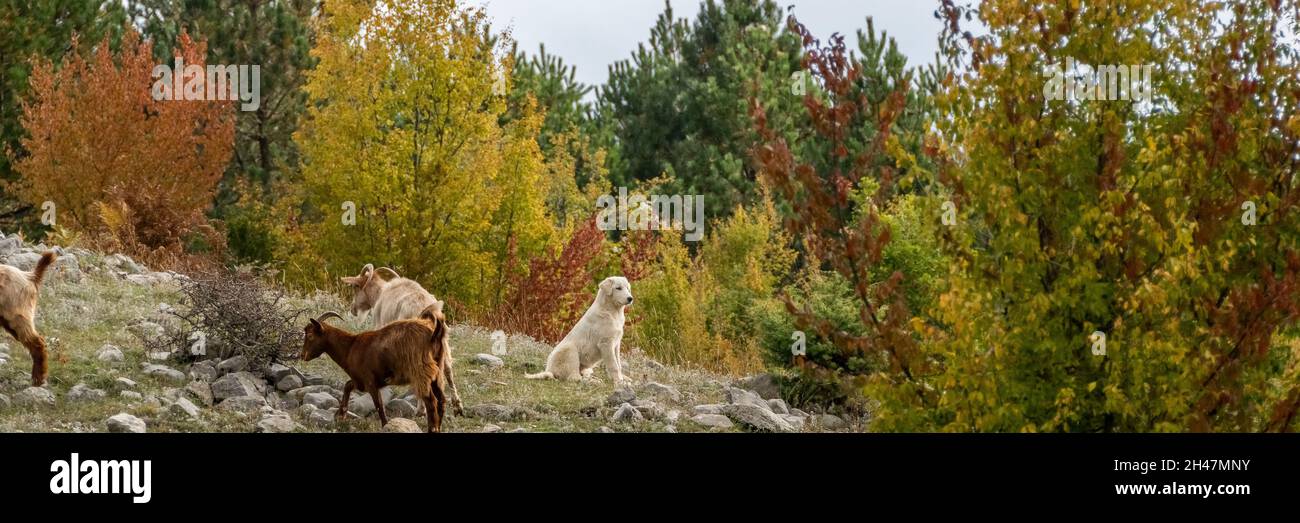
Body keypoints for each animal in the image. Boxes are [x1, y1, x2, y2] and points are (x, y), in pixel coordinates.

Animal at [301, 304, 449, 432]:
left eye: (310, 335)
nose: (302, 355)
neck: (350, 347)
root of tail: (433, 333)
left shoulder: (370, 382)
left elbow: (379, 406)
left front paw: (385, 426)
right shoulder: (360, 380)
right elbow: (348, 385)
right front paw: (340, 414)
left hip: (421, 372)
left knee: (431, 401)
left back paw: (432, 428)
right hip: (437, 371)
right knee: (441, 400)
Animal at [342, 263, 463, 415]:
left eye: (355, 287)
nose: (353, 309)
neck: (379, 294)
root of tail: (426, 308)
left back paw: (420, 410)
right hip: (443, 341)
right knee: (447, 369)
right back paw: (457, 407)